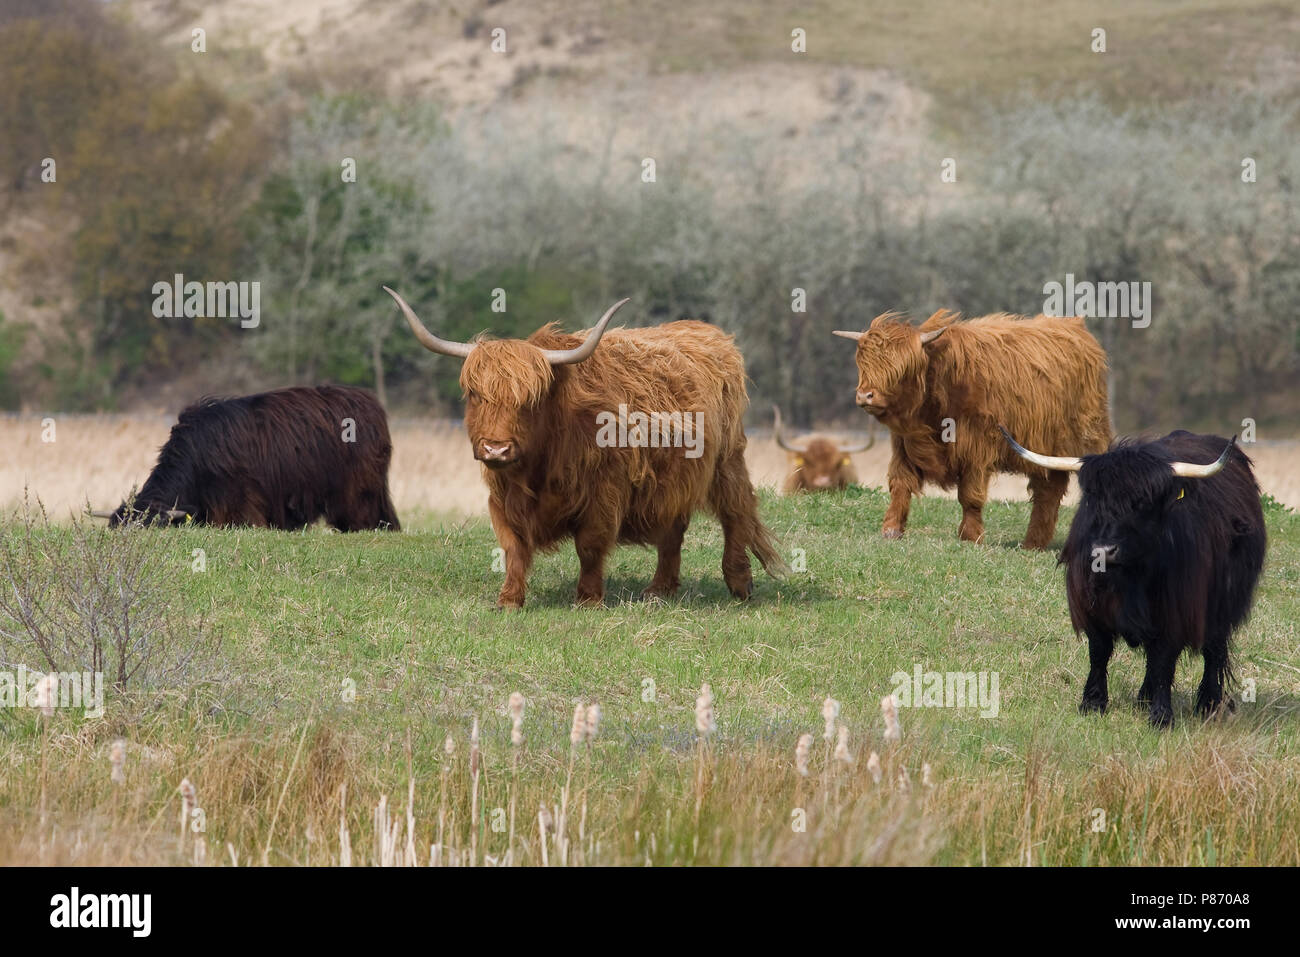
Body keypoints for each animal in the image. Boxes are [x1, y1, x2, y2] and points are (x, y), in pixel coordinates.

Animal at [384, 287, 784, 608]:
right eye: (475, 395)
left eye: (530, 401)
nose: (496, 449)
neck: (537, 468)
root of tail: (709, 332)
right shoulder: (500, 498)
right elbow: (512, 546)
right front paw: (509, 599)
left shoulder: (603, 494)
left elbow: (590, 546)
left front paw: (588, 599)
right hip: (674, 478)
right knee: (674, 527)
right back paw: (659, 590)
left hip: (727, 460)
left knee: (736, 511)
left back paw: (739, 583)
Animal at [833, 310, 1110, 548]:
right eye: (863, 363)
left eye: (902, 368)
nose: (866, 396)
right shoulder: (903, 445)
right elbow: (900, 484)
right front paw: (891, 529)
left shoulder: (977, 446)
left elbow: (970, 495)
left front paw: (971, 536)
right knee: (1048, 491)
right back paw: (1034, 544)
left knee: (1050, 492)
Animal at [1001, 427, 1266, 728]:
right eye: (1093, 499)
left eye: (1141, 503)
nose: (1103, 551)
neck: (1128, 578)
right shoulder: (1092, 609)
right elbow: (1099, 653)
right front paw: (1092, 703)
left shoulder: (1175, 613)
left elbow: (1164, 660)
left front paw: (1161, 717)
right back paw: (1144, 699)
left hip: (1223, 605)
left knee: (1214, 650)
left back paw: (1207, 704)